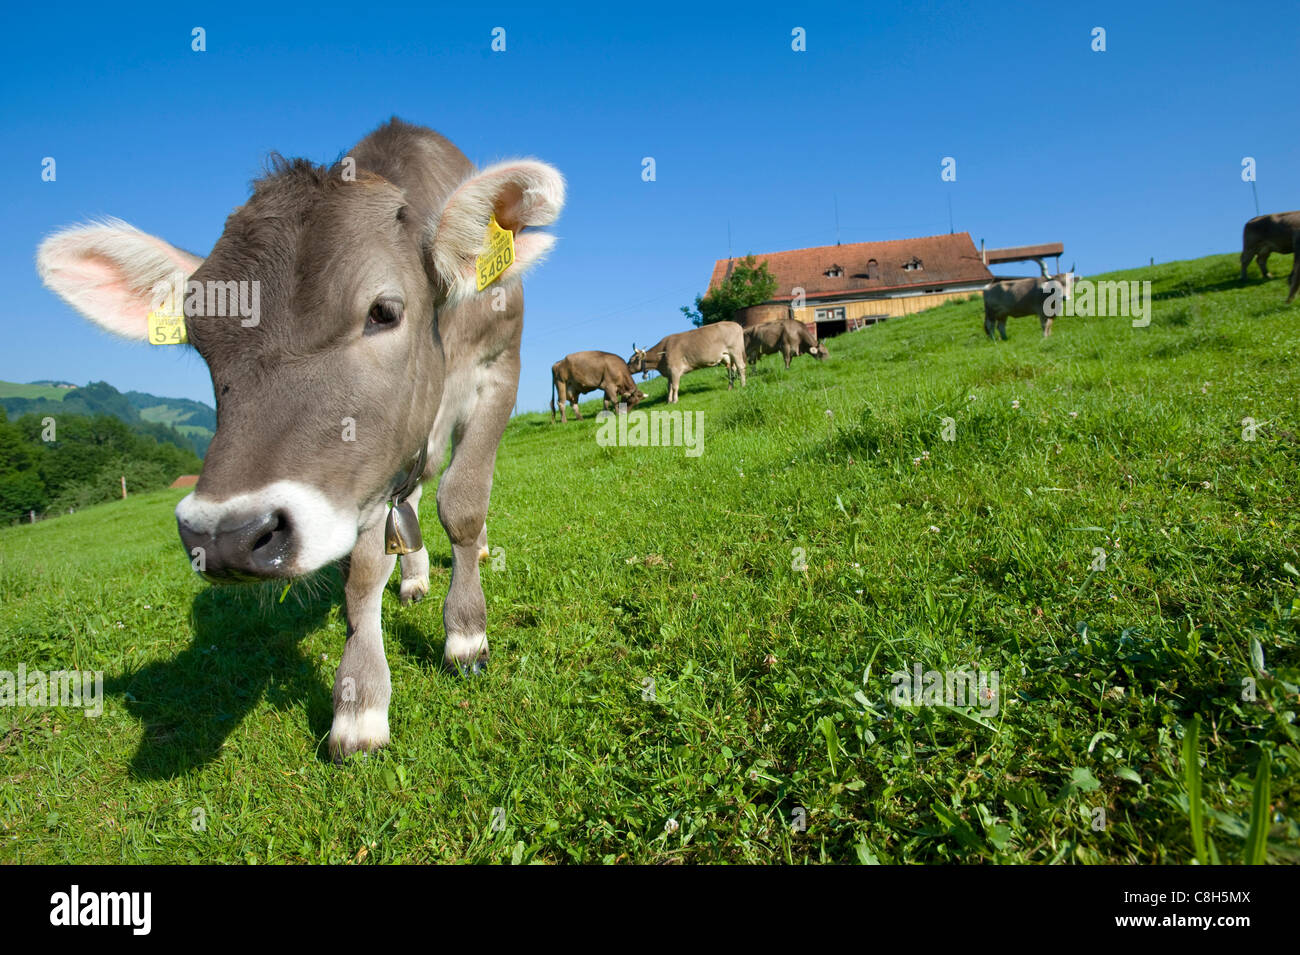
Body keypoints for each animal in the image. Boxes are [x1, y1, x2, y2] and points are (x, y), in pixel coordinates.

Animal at [35, 118, 565, 761]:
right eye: (199, 336)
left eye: (384, 311)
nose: (225, 538)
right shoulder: (360, 474)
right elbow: (363, 570)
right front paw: (360, 702)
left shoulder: (499, 370)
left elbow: (462, 504)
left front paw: (465, 634)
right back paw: (413, 576)